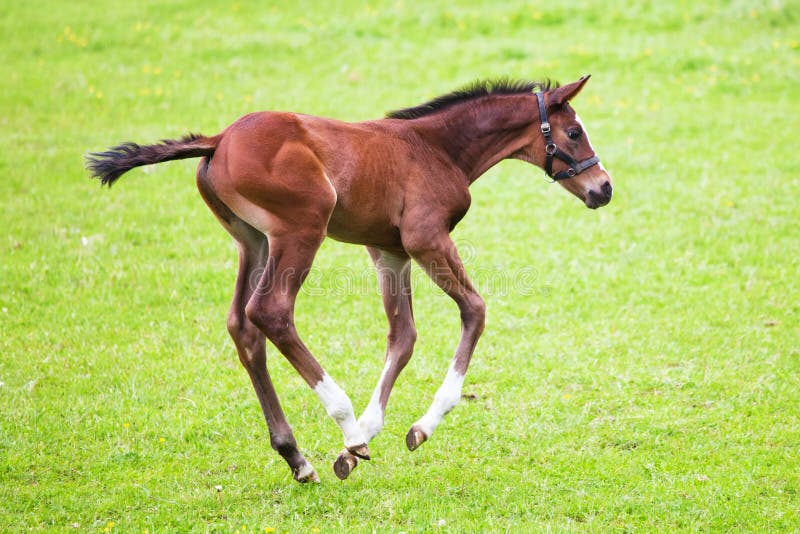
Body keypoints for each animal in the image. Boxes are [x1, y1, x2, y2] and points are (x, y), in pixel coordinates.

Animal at [86, 75, 612, 483]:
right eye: (573, 132)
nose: (603, 188)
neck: (436, 148)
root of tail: (218, 139)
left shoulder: (389, 252)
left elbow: (403, 337)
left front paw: (365, 438)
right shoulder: (426, 239)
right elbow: (476, 310)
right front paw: (412, 428)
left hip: (252, 241)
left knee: (242, 326)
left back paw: (297, 458)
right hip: (302, 228)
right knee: (270, 312)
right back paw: (343, 422)